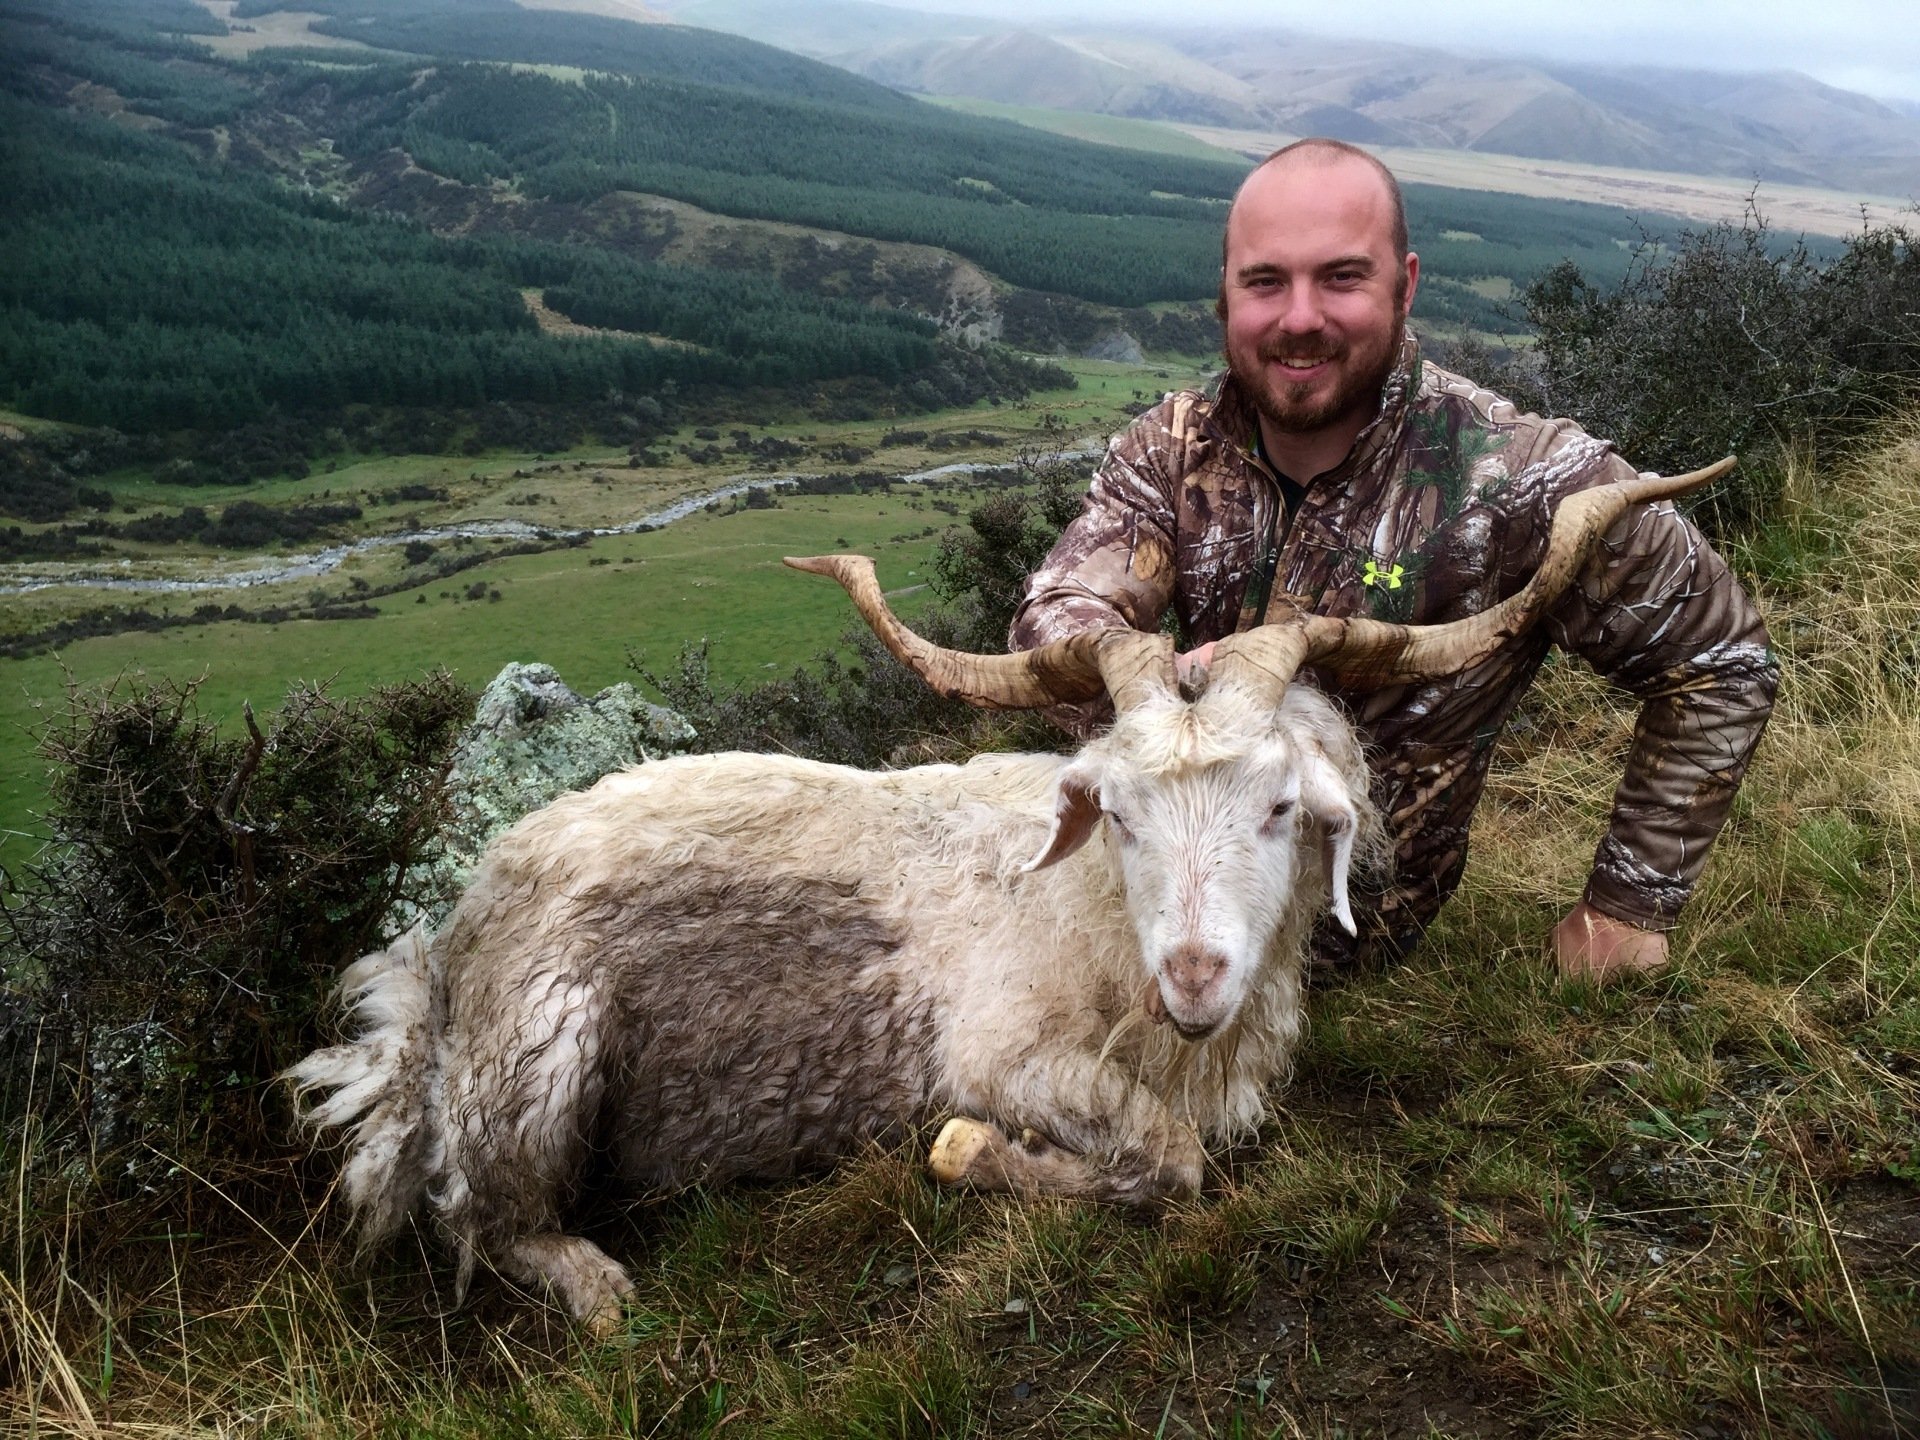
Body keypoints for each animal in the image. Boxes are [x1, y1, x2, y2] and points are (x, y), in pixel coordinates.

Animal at [289, 462, 1729, 1332]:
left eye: (1281, 805)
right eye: (1120, 811)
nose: (1193, 980)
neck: (1098, 930)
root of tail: (441, 961)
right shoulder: (1001, 1053)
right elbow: (1163, 1160)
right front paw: (972, 1156)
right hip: (539, 1065)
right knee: (480, 1217)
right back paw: (599, 1287)